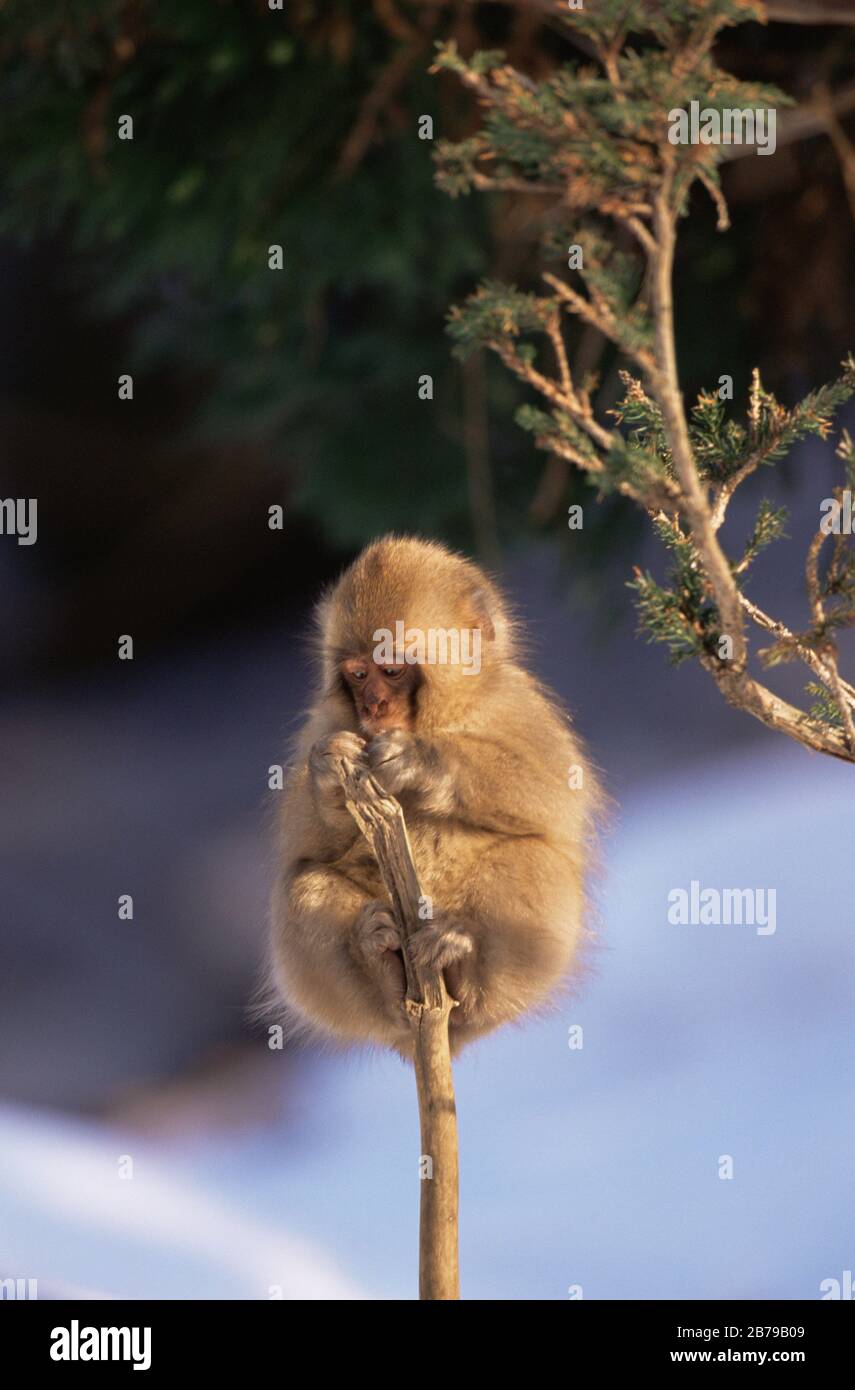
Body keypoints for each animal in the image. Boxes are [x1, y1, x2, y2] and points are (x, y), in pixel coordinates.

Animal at [267, 535, 602, 1059]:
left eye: (391, 669)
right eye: (357, 675)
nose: (373, 706)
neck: (438, 715)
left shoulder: (518, 706)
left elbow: (555, 800)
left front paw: (424, 763)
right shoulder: (324, 724)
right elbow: (300, 846)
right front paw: (327, 776)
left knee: (534, 859)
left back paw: (461, 957)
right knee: (303, 887)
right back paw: (378, 963)